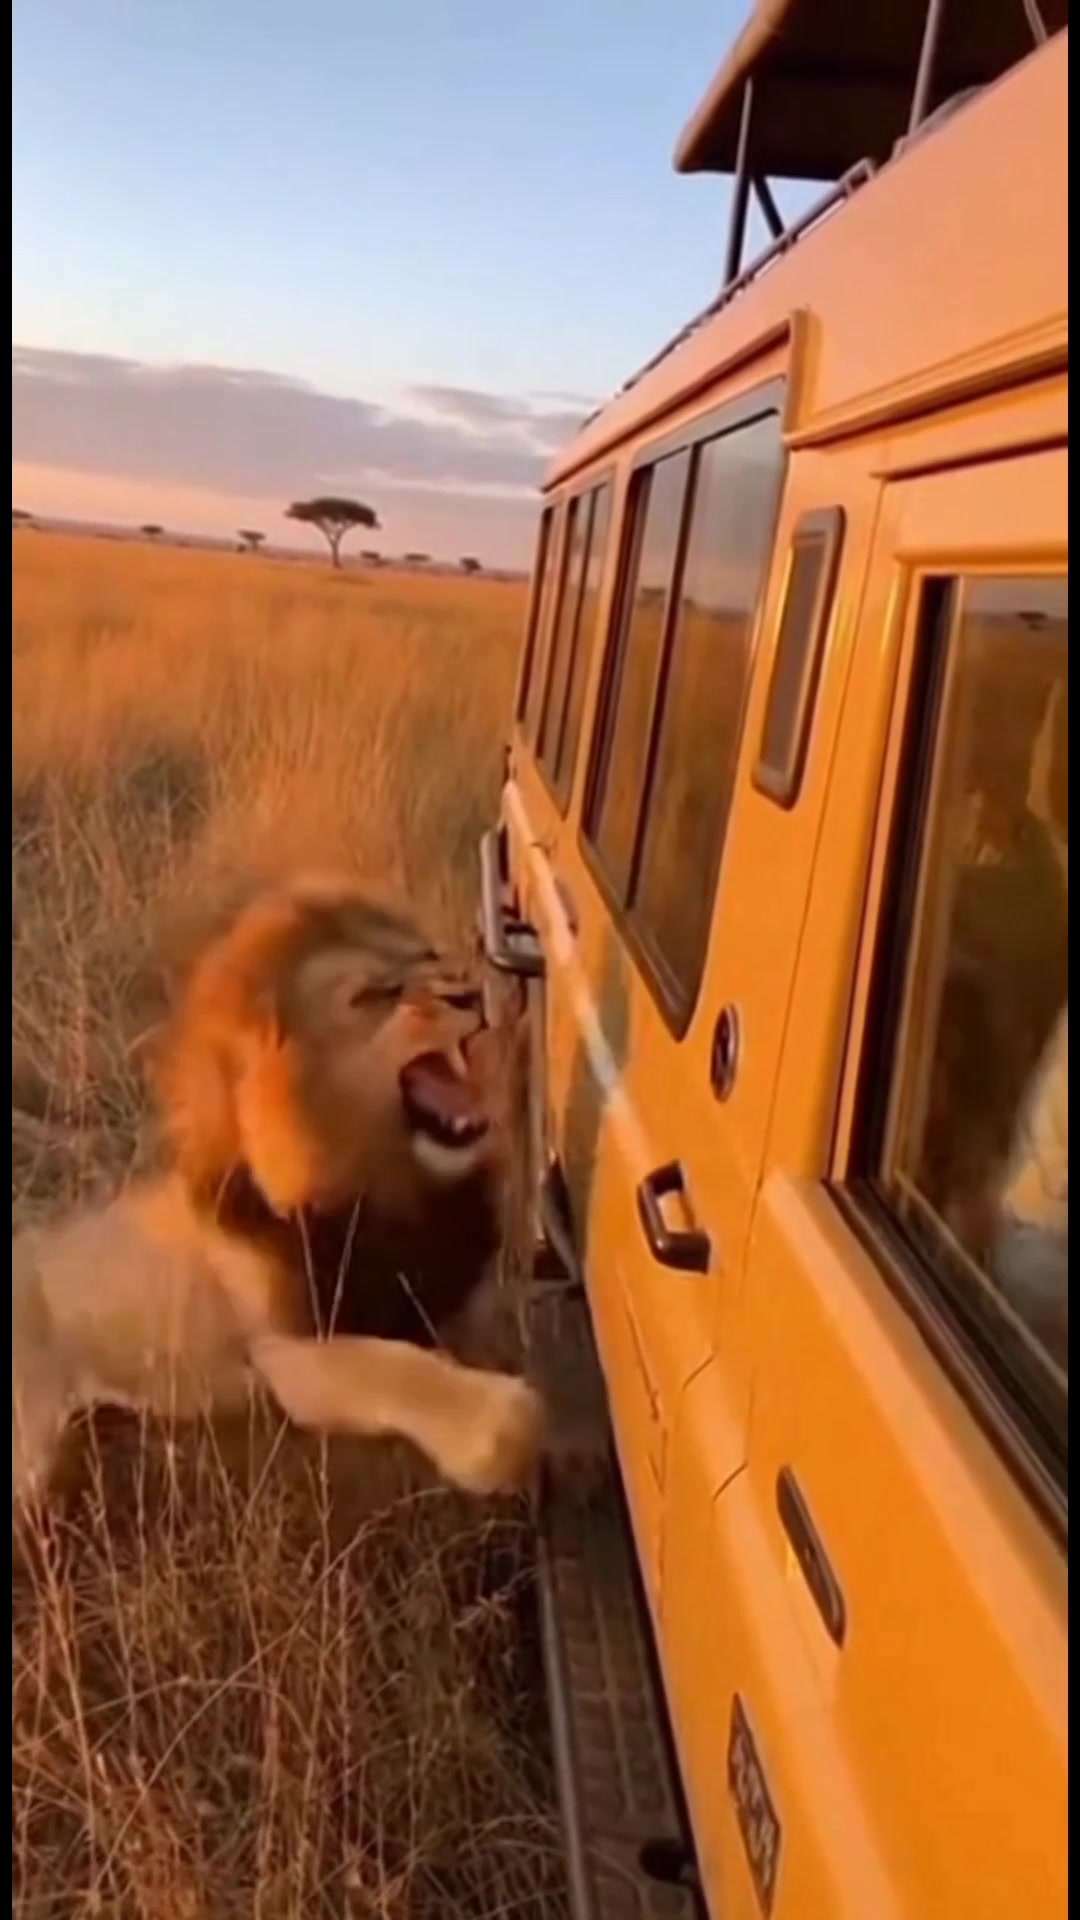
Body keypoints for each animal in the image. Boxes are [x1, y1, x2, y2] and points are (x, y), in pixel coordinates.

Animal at [12, 873, 545, 1514]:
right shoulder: (282, 1352)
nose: (471, 993)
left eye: (430, 956)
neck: (386, 1185)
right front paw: (503, 1436)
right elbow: (397, 1368)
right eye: (375, 993)